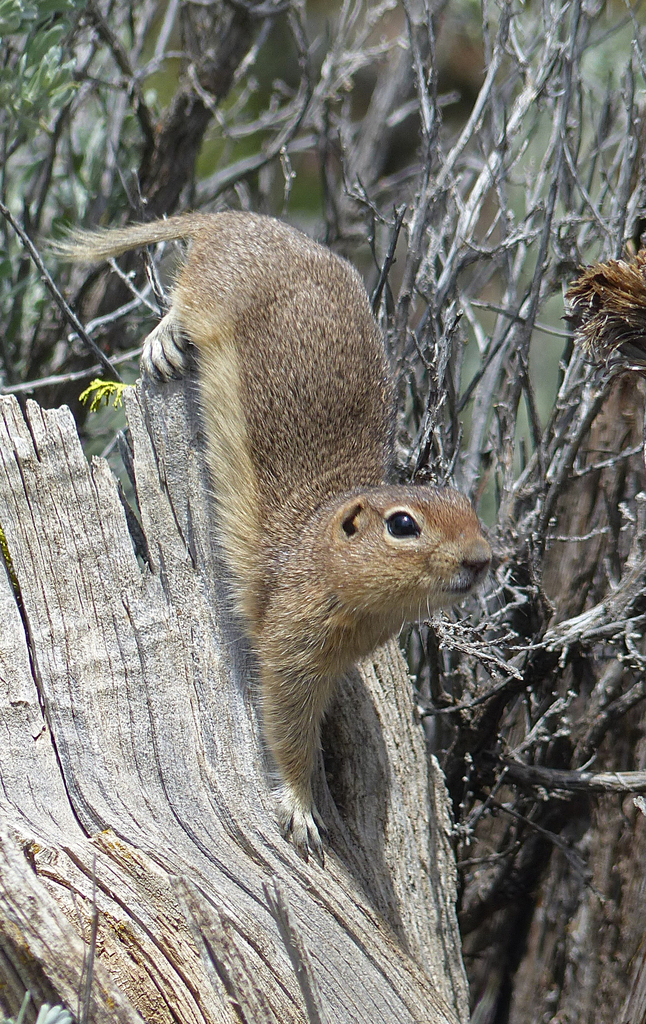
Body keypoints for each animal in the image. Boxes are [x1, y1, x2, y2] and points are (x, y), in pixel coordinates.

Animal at [55, 211, 491, 863]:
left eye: (469, 506)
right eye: (403, 524)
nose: (484, 559)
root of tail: (241, 220)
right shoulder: (290, 647)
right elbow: (287, 730)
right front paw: (302, 809)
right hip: (210, 293)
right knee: (180, 301)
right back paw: (162, 340)